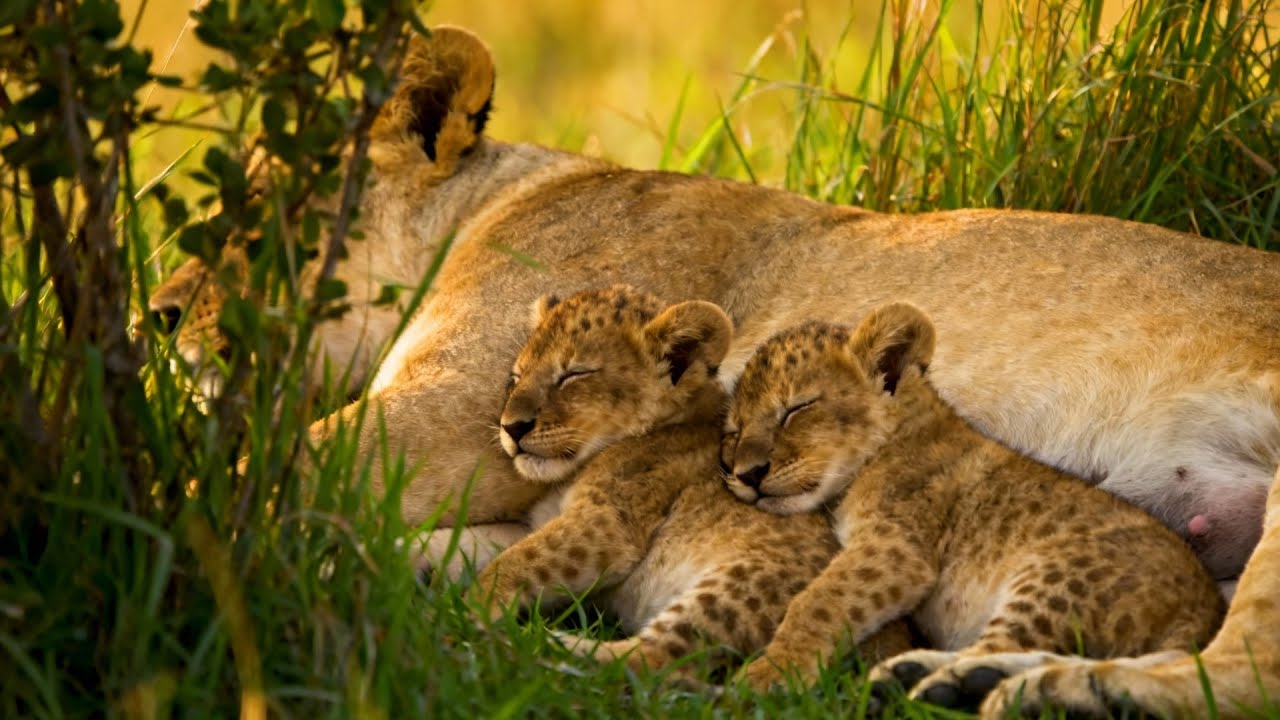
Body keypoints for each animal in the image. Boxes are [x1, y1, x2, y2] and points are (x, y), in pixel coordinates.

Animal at [150, 25, 1280, 709]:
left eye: (264, 210)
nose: (155, 317)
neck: (500, 200)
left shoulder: (454, 417)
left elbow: (240, 486)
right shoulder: (521, 494)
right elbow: (405, 553)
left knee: (1242, 675)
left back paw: (1048, 689)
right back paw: (969, 673)